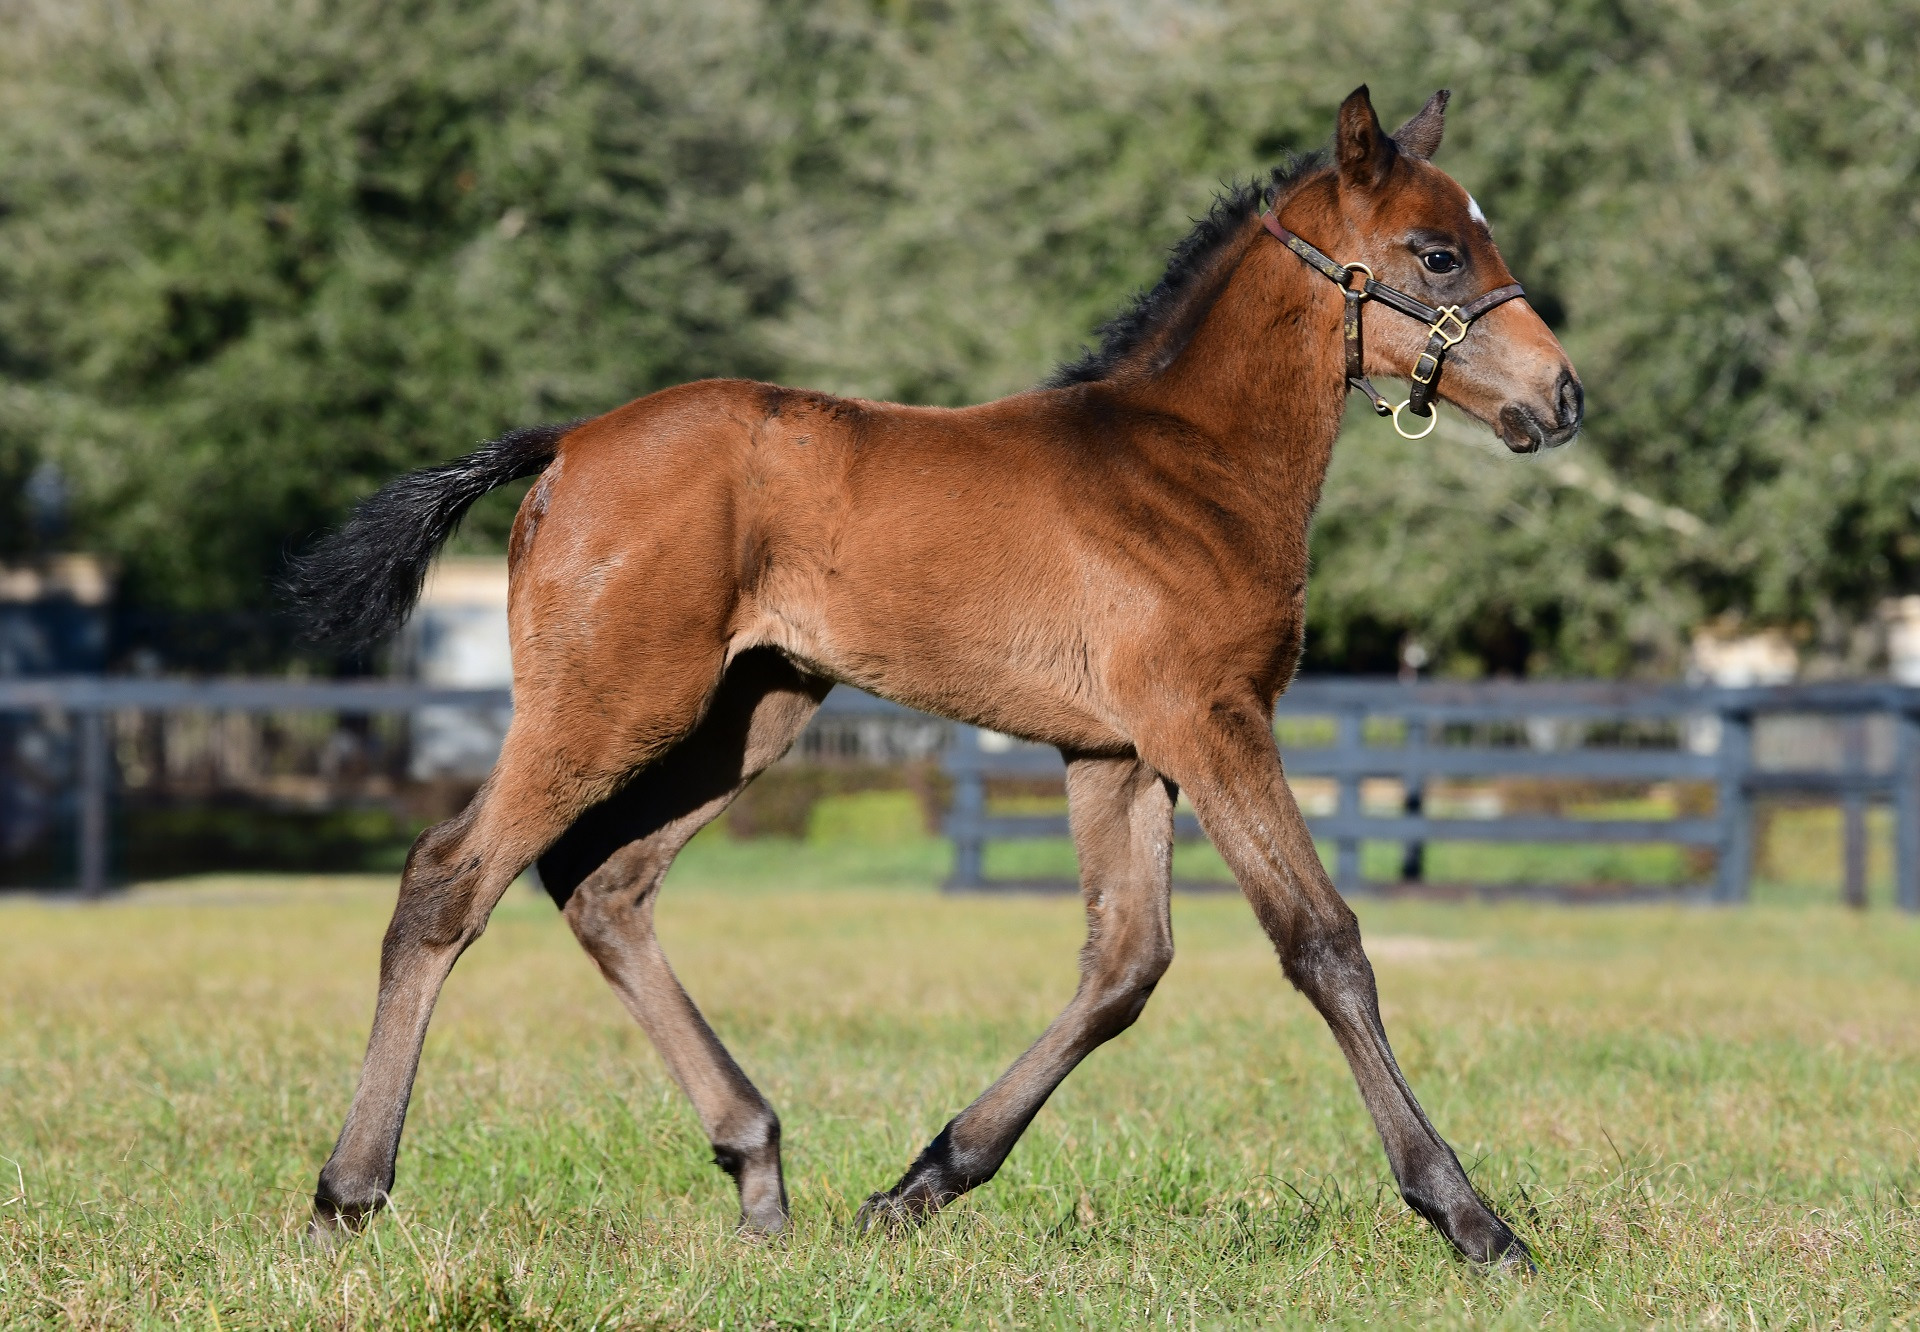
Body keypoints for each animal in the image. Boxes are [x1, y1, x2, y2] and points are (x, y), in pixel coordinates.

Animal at [289, 85, 1581, 1268]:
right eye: (1437, 251)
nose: (1562, 398)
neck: (1190, 465)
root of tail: (566, 443)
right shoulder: (1208, 722)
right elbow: (1322, 942)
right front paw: (1472, 1219)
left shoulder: (1115, 753)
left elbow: (1126, 965)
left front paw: (919, 1185)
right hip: (612, 703)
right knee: (450, 878)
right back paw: (349, 1193)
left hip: (749, 713)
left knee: (604, 884)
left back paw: (759, 1171)